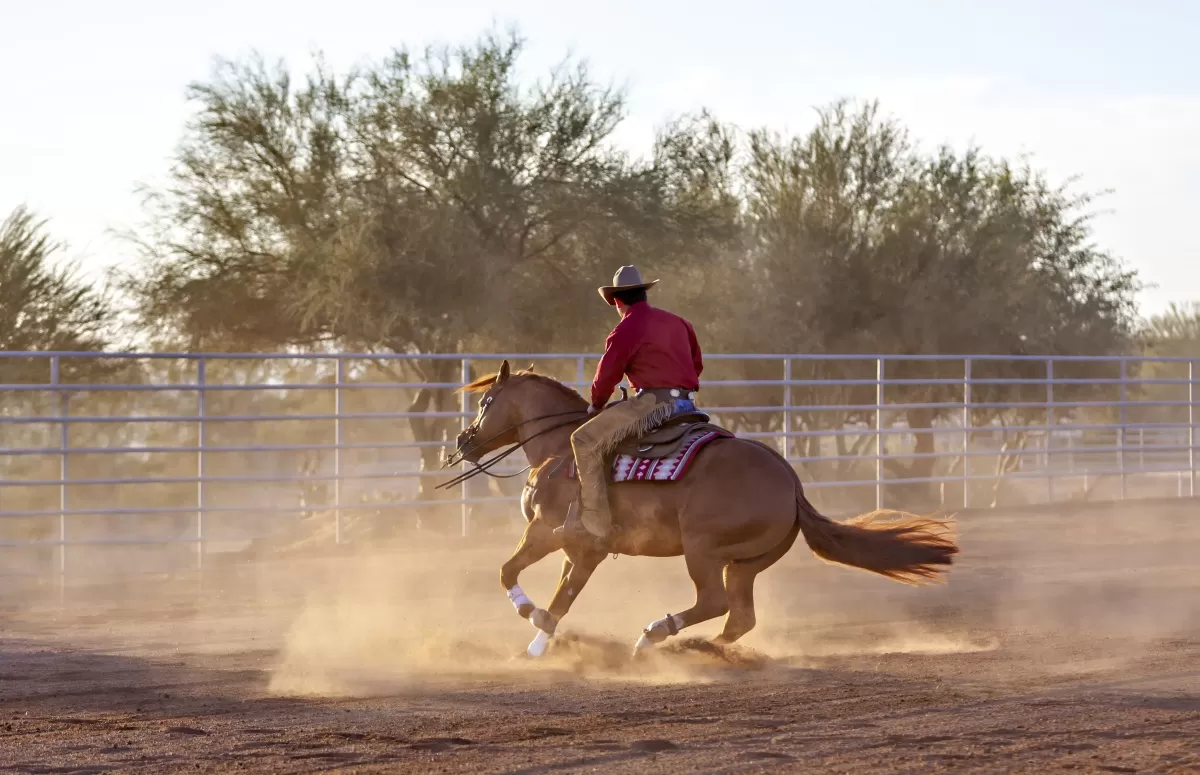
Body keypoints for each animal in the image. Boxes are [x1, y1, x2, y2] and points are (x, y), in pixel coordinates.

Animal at [446, 362, 960, 657]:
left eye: (486, 401)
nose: (463, 441)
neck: (558, 450)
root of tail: (790, 481)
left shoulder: (548, 531)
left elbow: (510, 573)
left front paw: (530, 621)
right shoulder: (585, 551)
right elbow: (563, 595)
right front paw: (541, 639)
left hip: (702, 550)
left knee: (715, 602)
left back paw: (655, 636)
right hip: (745, 562)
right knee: (739, 617)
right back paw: (698, 648)